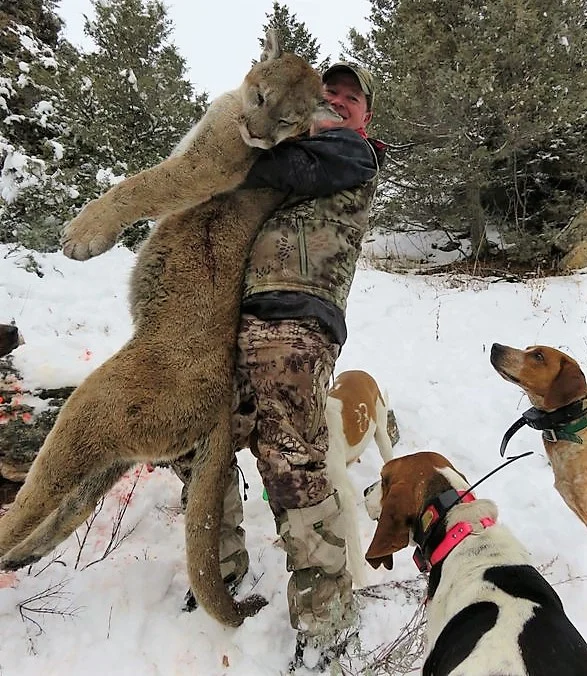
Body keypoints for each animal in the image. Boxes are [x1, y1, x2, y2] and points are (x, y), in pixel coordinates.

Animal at [0, 30, 339, 628]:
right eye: (262, 97)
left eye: (288, 117)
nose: (257, 132)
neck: (235, 111)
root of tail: (220, 402)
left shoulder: (205, 167)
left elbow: (144, 184)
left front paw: (83, 235)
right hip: (115, 452)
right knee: (72, 506)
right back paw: (22, 557)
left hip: (92, 411)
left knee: (35, 497)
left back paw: (6, 543)